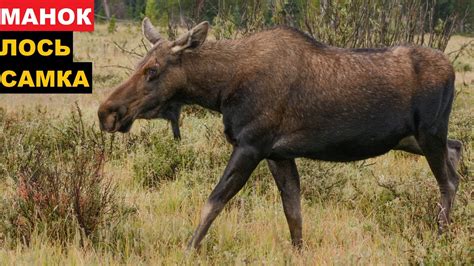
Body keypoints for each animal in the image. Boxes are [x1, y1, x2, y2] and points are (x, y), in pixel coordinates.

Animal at [97, 18, 462, 249]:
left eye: (152, 70)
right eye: (139, 65)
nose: (106, 112)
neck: (220, 90)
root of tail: (452, 69)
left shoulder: (252, 145)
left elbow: (213, 202)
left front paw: (188, 249)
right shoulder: (278, 153)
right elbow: (294, 214)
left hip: (429, 132)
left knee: (446, 180)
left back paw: (441, 239)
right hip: (411, 138)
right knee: (456, 152)